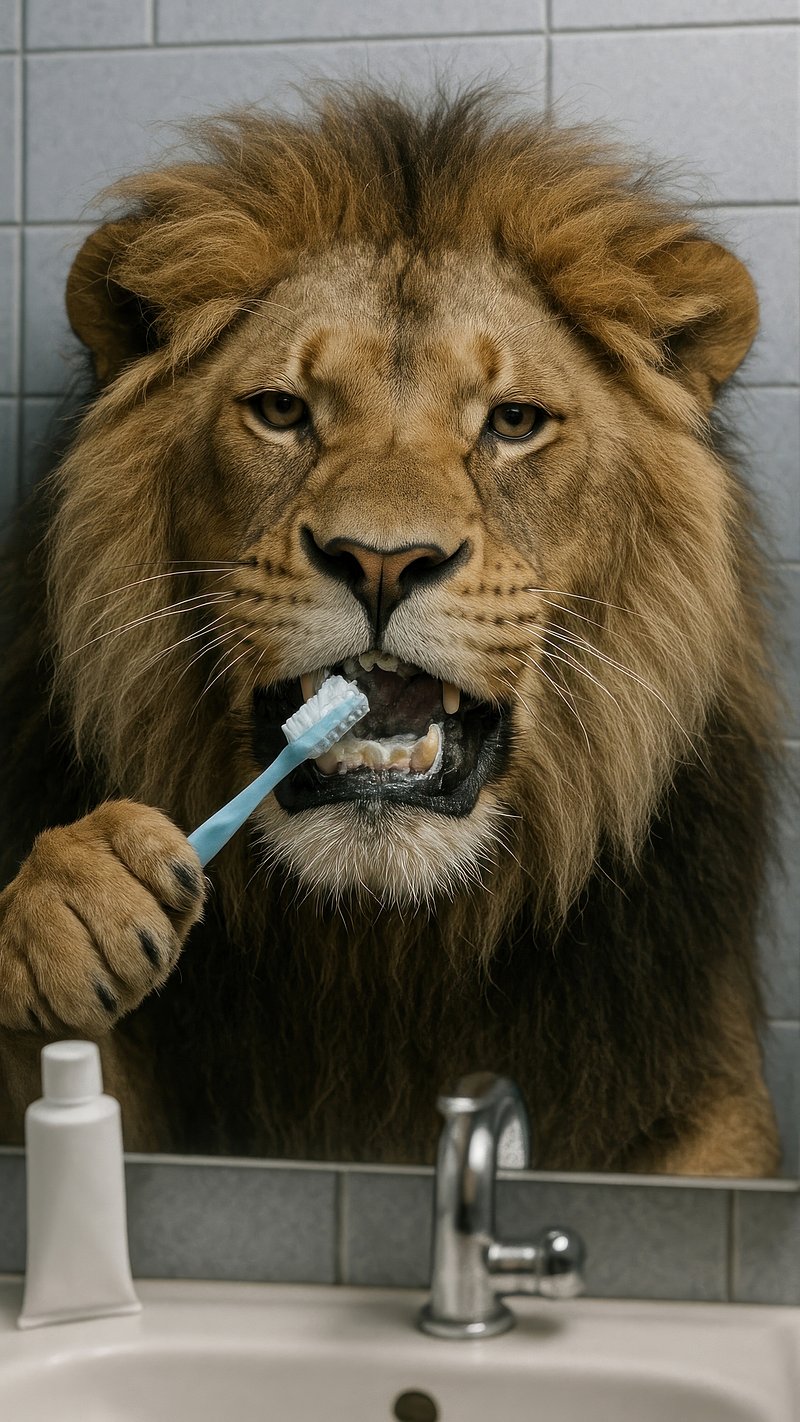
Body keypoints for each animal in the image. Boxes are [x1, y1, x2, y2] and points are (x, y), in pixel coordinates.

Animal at [0, 89, 781, 1175]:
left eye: (513, 422)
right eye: (281, 410)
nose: (380, 561)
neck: (383, 951)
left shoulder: (703, 1111)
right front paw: (71, 901)